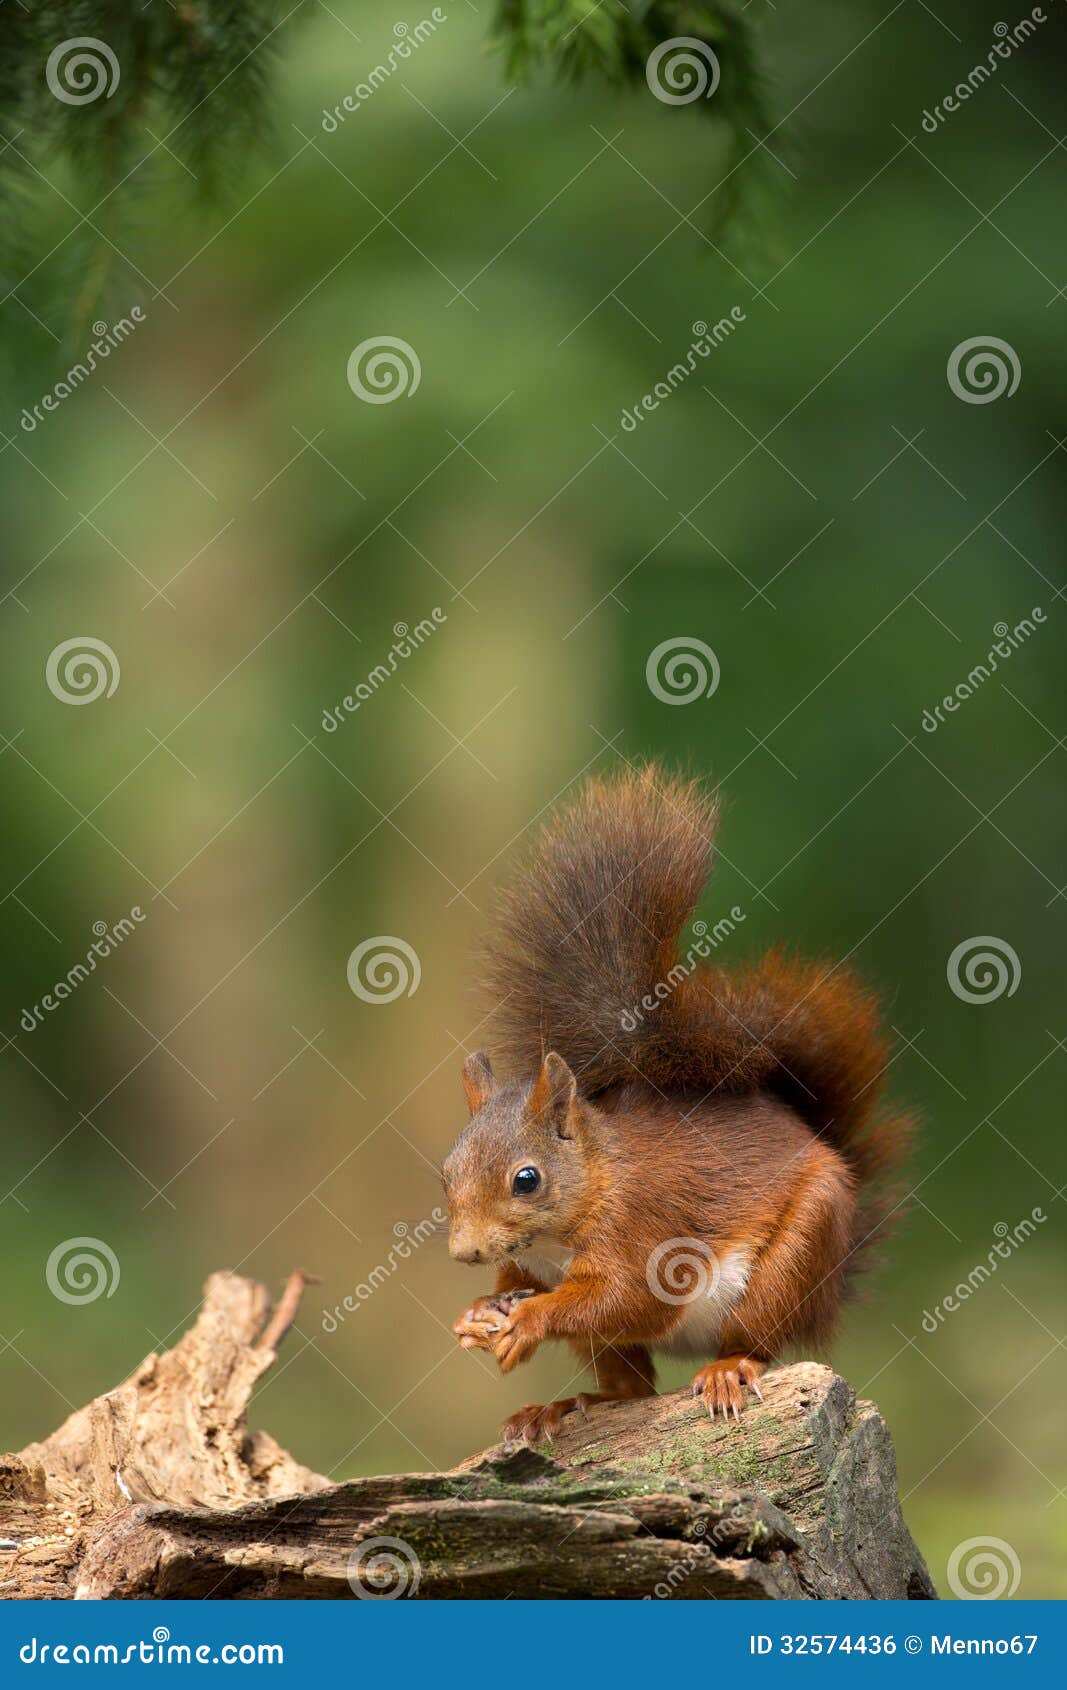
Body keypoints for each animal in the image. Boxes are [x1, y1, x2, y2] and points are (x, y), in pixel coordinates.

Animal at [443, 765, 912, 1443]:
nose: (466, 1253)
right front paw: (478, 1312)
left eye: (526, 1180)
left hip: (795, 1256)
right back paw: (563, 1406)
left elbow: (626, 1300)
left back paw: (727, 1369)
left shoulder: (644, 1233)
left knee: (757, 1339)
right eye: (446, 1173)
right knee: (630, 1387)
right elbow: (530, 1287)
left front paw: (527, 1320)